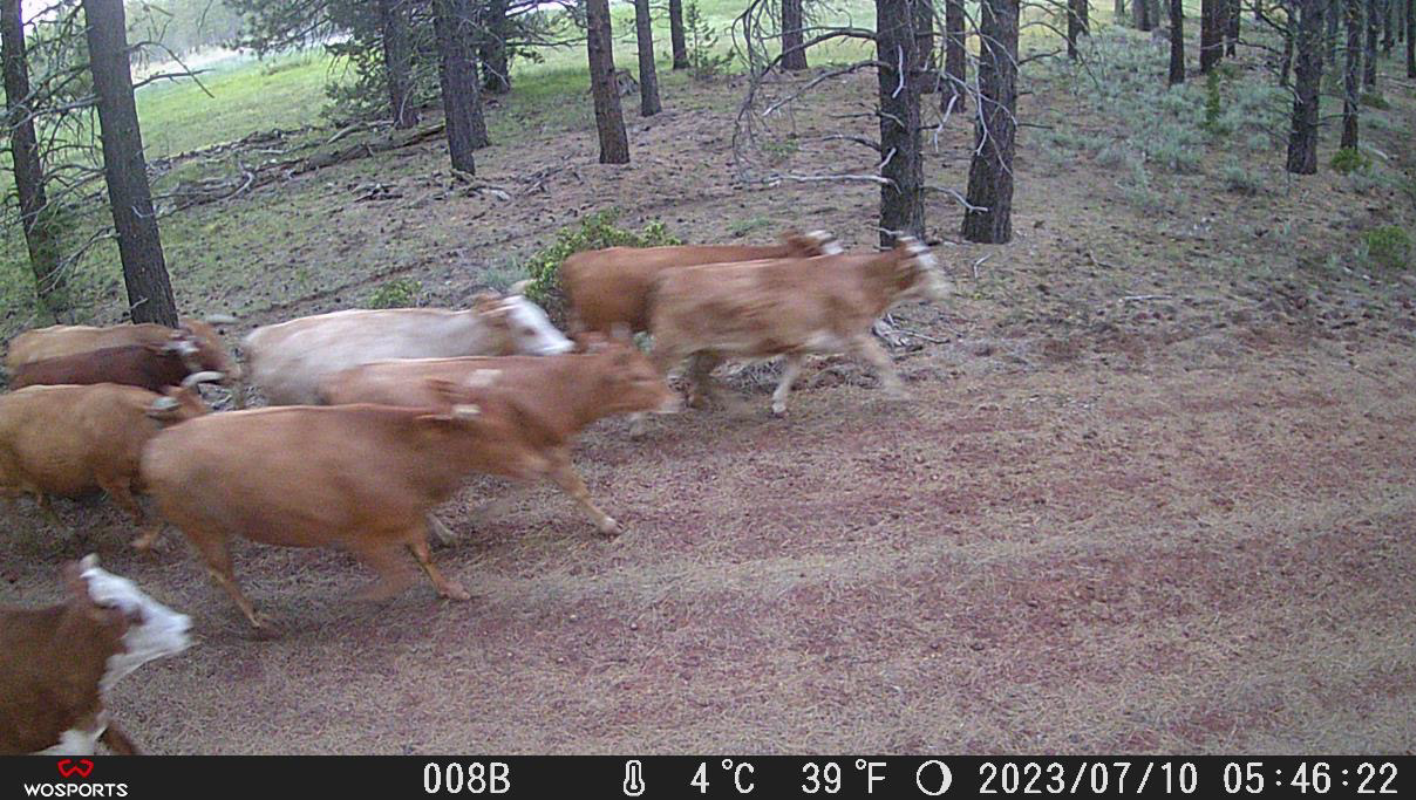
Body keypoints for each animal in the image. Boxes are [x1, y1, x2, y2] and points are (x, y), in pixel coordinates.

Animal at [0, 374, 218, 550]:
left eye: (204, 408)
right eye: (188, 419)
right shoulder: (112, 482)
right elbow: (138, 513)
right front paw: (153, 542)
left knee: (42, 501)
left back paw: (66, 533)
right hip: (10, 480)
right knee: (10, 501)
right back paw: (22, 536)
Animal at [139, 382, 553, 634]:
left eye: (509, 419)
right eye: (492, 433)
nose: (538, 464)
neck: (399, 447)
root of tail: (158, 446)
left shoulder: (407, 517)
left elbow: (423, 557)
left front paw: (450, 589)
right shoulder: (359, 535)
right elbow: (398, 575)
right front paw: (365, 598)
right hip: (202, 527)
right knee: (221, 573)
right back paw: (259, 620)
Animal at [319, 332, 680, 538]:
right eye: (639, 376)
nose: (674, 399)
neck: (554, 385)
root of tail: (342, 377)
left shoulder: (539, 449)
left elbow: (545, 483)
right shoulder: (536, 448)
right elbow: (568, 486)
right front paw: (607, 524)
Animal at [647, 236, 950, 417]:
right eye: (927, 268)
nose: (947, 289)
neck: (860, 278)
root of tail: (670, 277)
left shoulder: (800, 342)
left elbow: (791, 372)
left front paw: (778, 404)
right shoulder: (852, 332)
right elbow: (881, 359)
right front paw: (901, 393)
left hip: (710, 350)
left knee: (697, 374)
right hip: (671, 346)